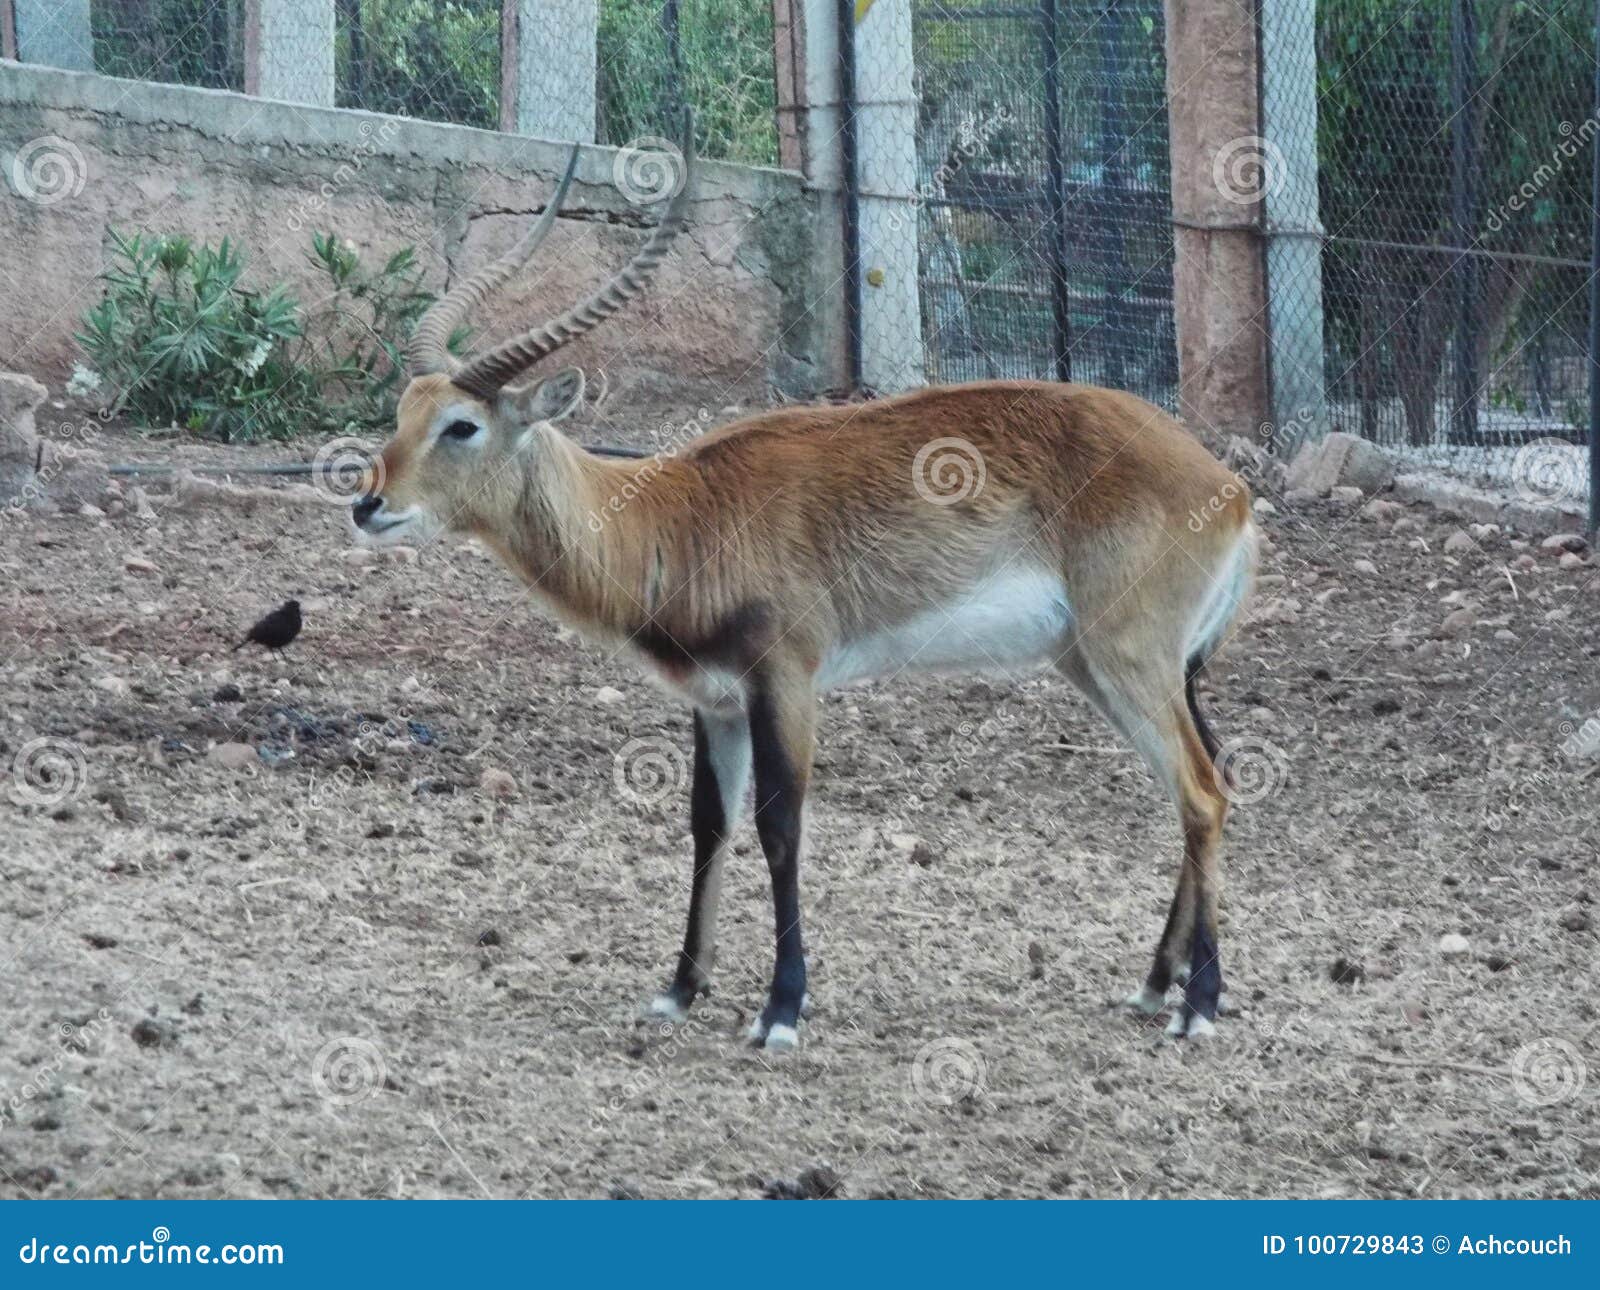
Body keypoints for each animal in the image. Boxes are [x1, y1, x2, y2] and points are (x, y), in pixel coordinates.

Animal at [351, 132, 1257, 1049]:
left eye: (462, 425)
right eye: (403, 410)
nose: (368, 504)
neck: (677, 517)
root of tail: (1228, 489)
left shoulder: (786, 678)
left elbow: (779, 826)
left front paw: (781, 1009)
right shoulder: (715, 700)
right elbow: (708, 825)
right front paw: (680, 989)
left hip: (1130, 659)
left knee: (1203, 793)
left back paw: (1199, 1006)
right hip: (1096, 665)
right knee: (1203, 783)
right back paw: (1155, 986)